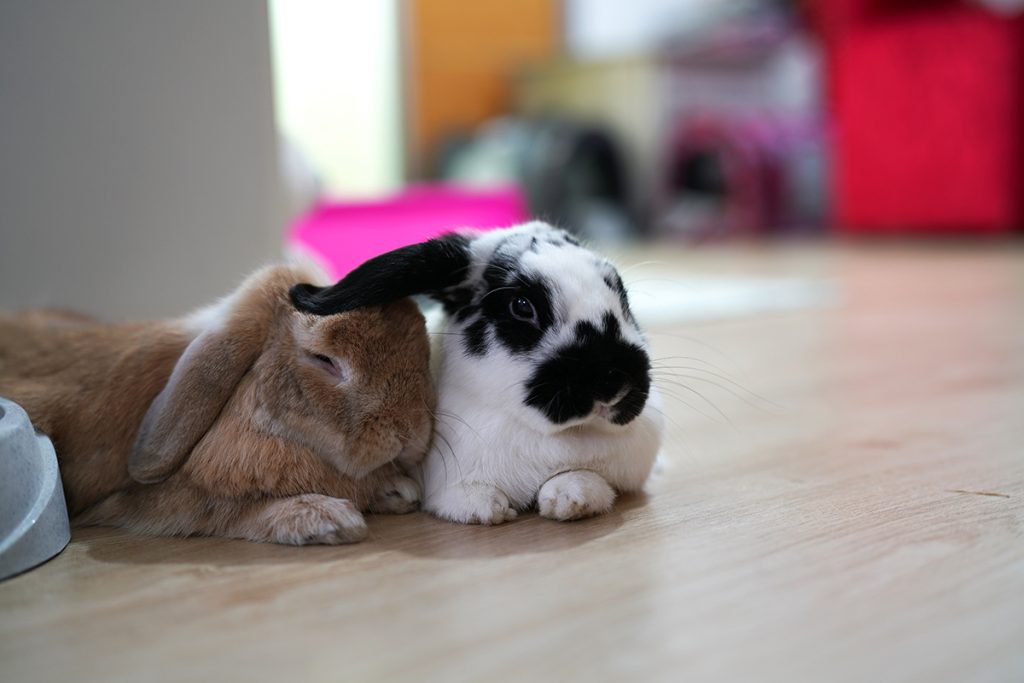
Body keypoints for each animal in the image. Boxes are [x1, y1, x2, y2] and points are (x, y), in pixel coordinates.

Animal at [0, 263, 435, 544]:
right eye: (323, 360)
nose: (411, 431)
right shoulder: (129, 502)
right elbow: (218, 509)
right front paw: (328, 519)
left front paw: (397, 489)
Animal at [289, 221, 664, 525]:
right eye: (522, 307)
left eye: (621, 294)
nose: (614, 381)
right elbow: (467, 496)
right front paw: (487, 507)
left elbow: (581, 477)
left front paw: (570, 497)